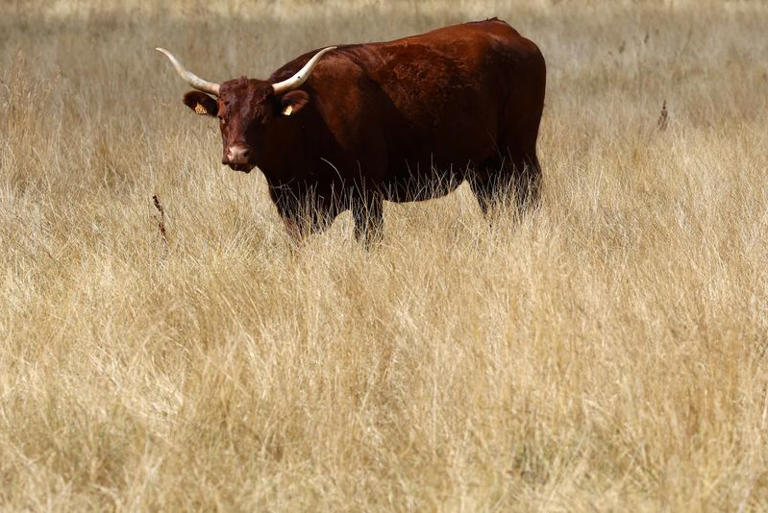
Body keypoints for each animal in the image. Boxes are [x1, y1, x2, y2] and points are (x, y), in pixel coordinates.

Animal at [157, 18, 545, 245]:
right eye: (223, 115)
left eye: (263, 116)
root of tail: (508, 31)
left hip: (520, 154)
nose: (237, 155)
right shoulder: (292, 207)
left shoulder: (367, 195)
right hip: (484, 168)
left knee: (530, 201)